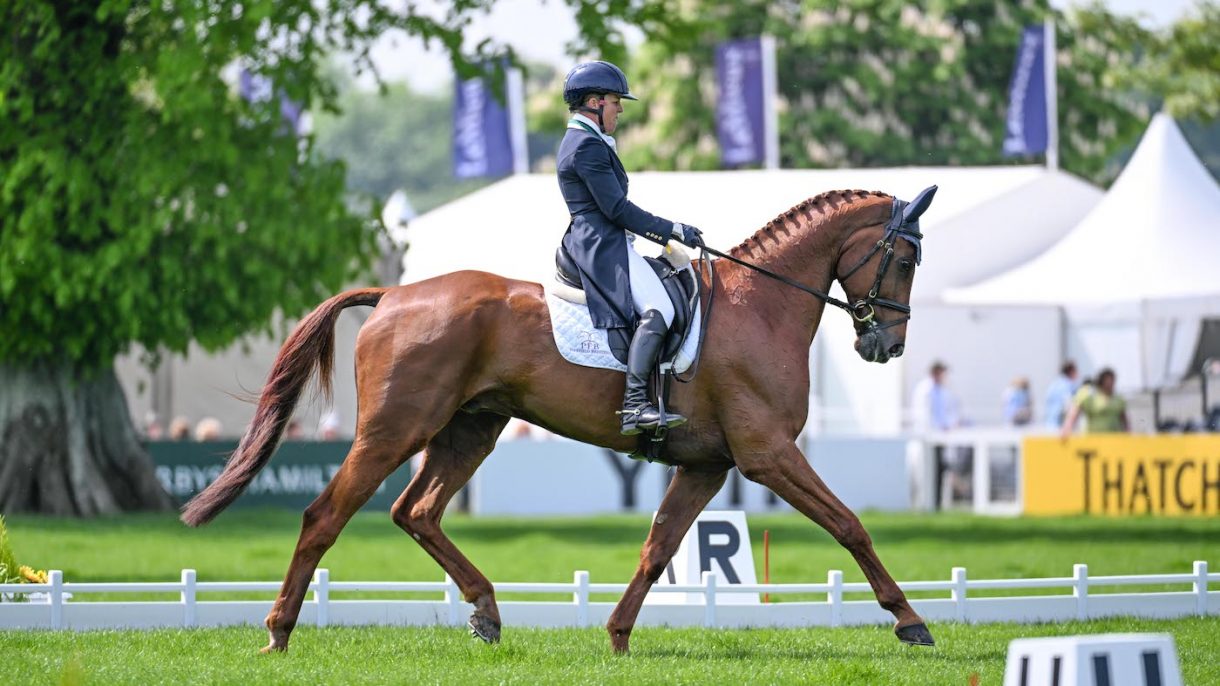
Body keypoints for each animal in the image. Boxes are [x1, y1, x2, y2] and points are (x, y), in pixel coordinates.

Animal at [181, 186, 938, 654]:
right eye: (905, 258)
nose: (887, 346)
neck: (762, 304)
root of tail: (395, 293)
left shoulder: (706, 464)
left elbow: (658, 548)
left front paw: (618, 636)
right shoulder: (768, 453)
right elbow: (849, 525)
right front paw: (910, 621)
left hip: (470, 430)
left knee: (416, 512)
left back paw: (486, 611)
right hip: (394, 432)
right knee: (325, 517)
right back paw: (279, 631)